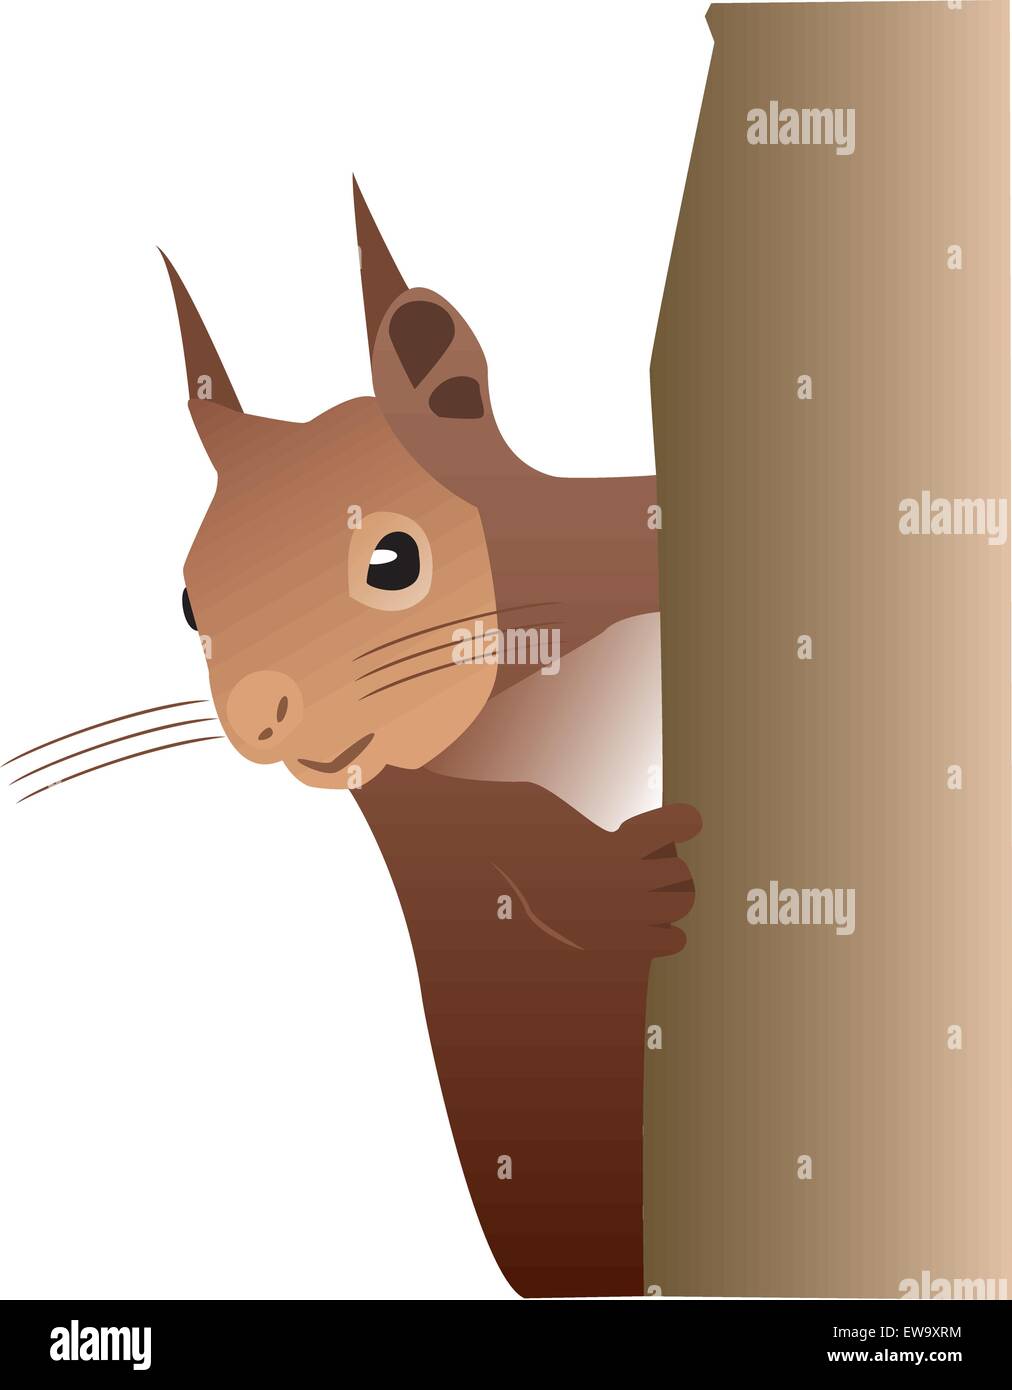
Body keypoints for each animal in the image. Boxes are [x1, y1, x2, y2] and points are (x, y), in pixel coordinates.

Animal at [162, 180, 701, 1299]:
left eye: (395, 558)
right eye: (187, 604)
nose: (257, 716)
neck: (531, 678)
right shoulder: (419, 816)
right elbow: (499, 847)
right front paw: (623, 886)